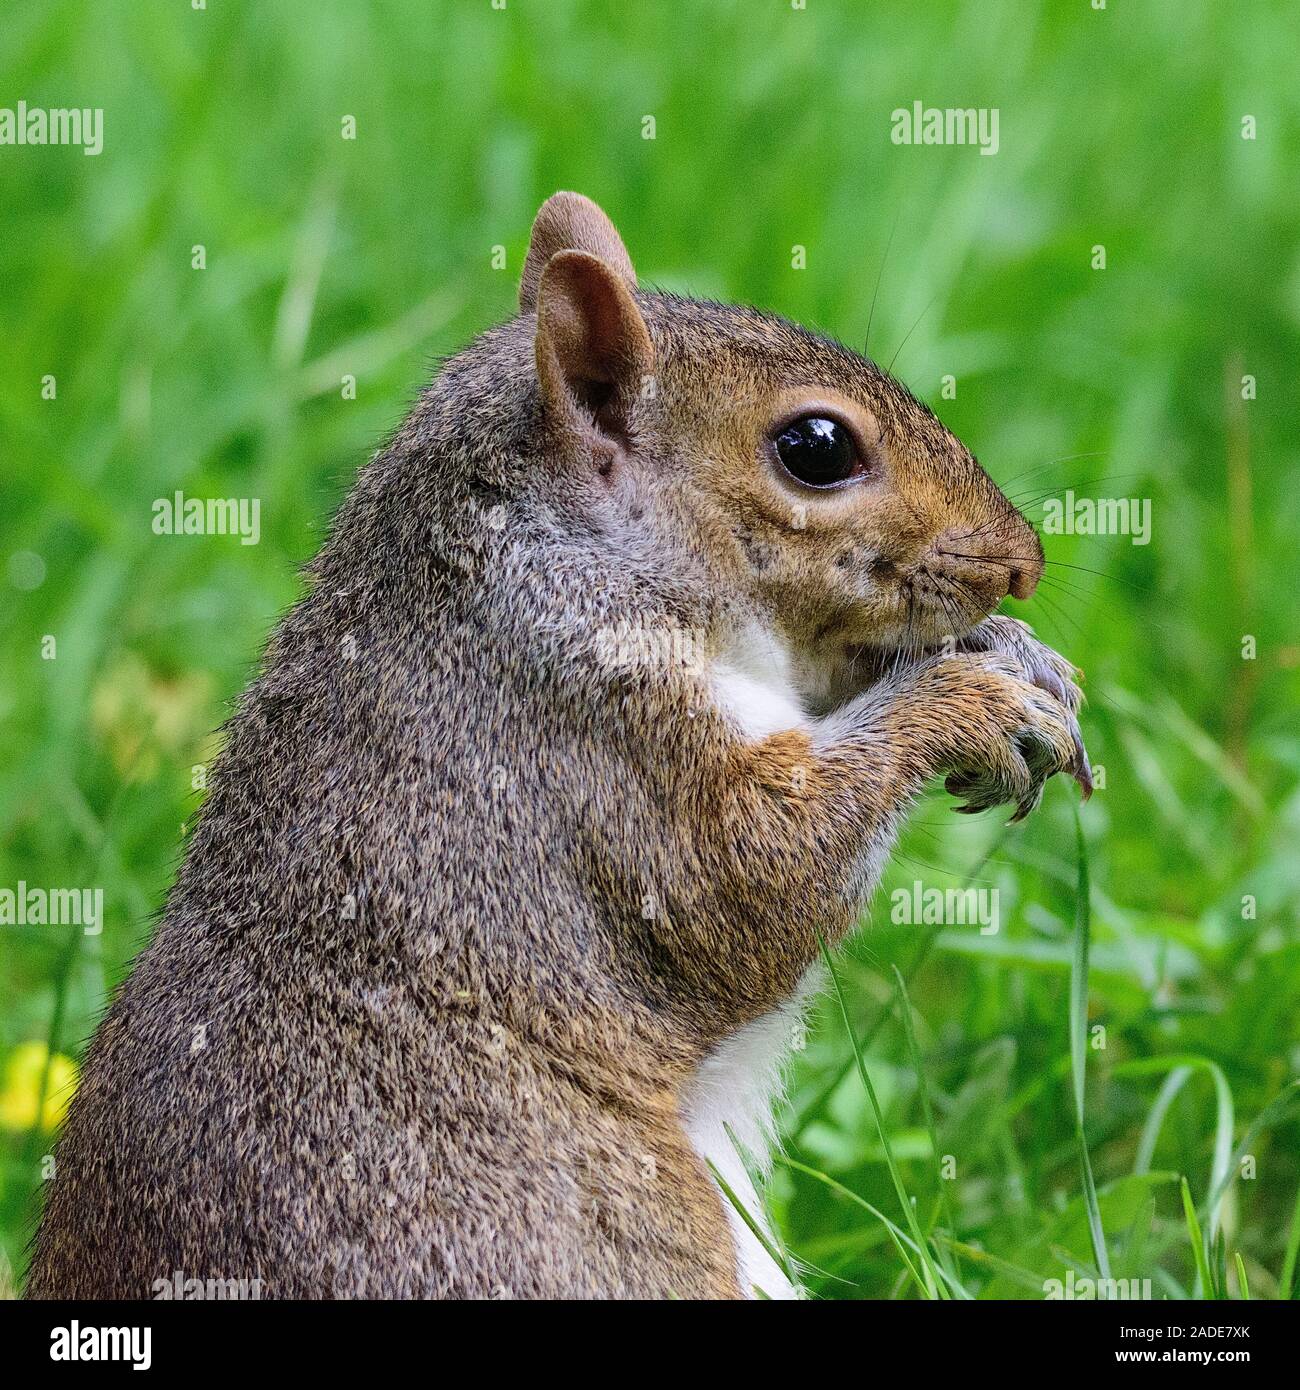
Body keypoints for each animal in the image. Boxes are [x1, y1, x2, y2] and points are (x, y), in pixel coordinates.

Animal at [26, 192, 1089, 1301]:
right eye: (816, 448)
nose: (1022, 565)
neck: (562, 565)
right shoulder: (594, 745)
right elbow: (750, 881)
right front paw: (959, 699)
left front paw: (1015, 654)